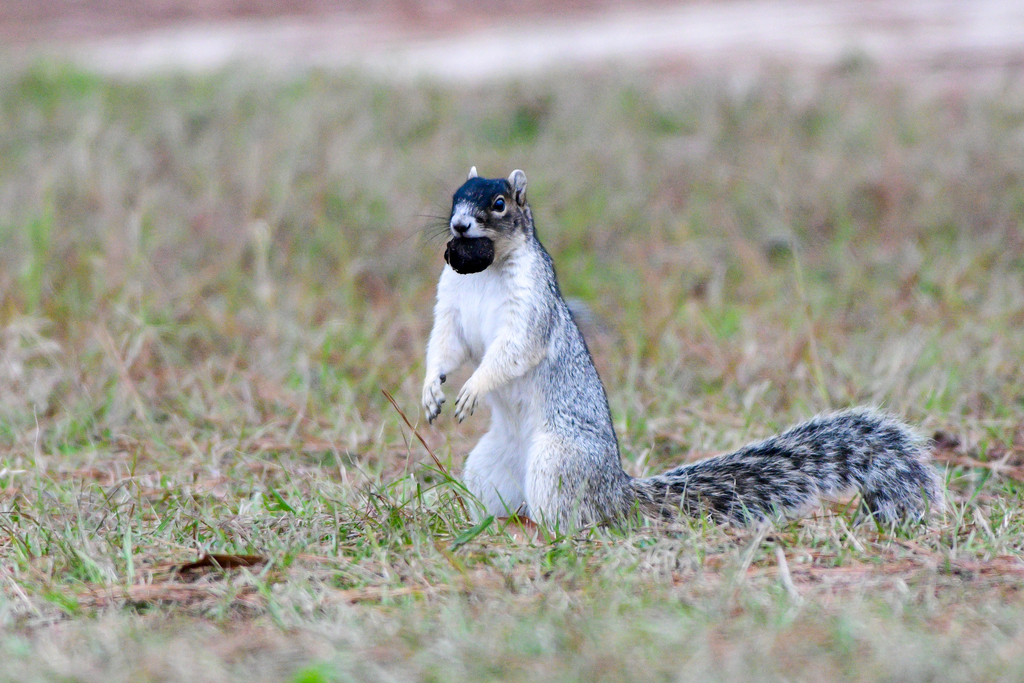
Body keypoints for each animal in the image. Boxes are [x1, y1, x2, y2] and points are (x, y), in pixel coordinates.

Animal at [422, 168, 944, 530]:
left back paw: (544, 532)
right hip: (489, 466)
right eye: (453, 197)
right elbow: (447, 345)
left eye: (499, 203)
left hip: (558, 461)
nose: (459, 225)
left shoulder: (531, 306)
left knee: (575, 517)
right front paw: (432, 389)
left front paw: (473, 388)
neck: (485, 269)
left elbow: (513, 348)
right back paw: (493, 524)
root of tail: (616, 493)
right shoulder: (451, 305)